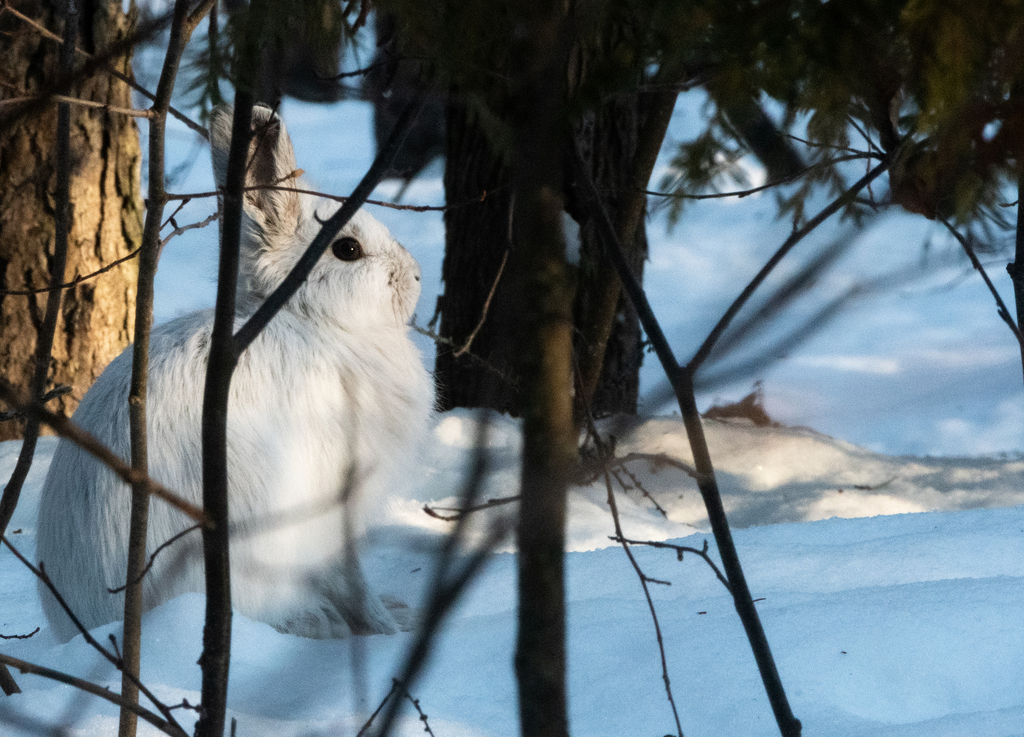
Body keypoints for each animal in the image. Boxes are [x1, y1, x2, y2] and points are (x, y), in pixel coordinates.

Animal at [35, 104, 434, 642]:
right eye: (347, 249)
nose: (416, 276)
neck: (309, 320)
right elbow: (351, 575)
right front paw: (389, 626)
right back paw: (317, 622)